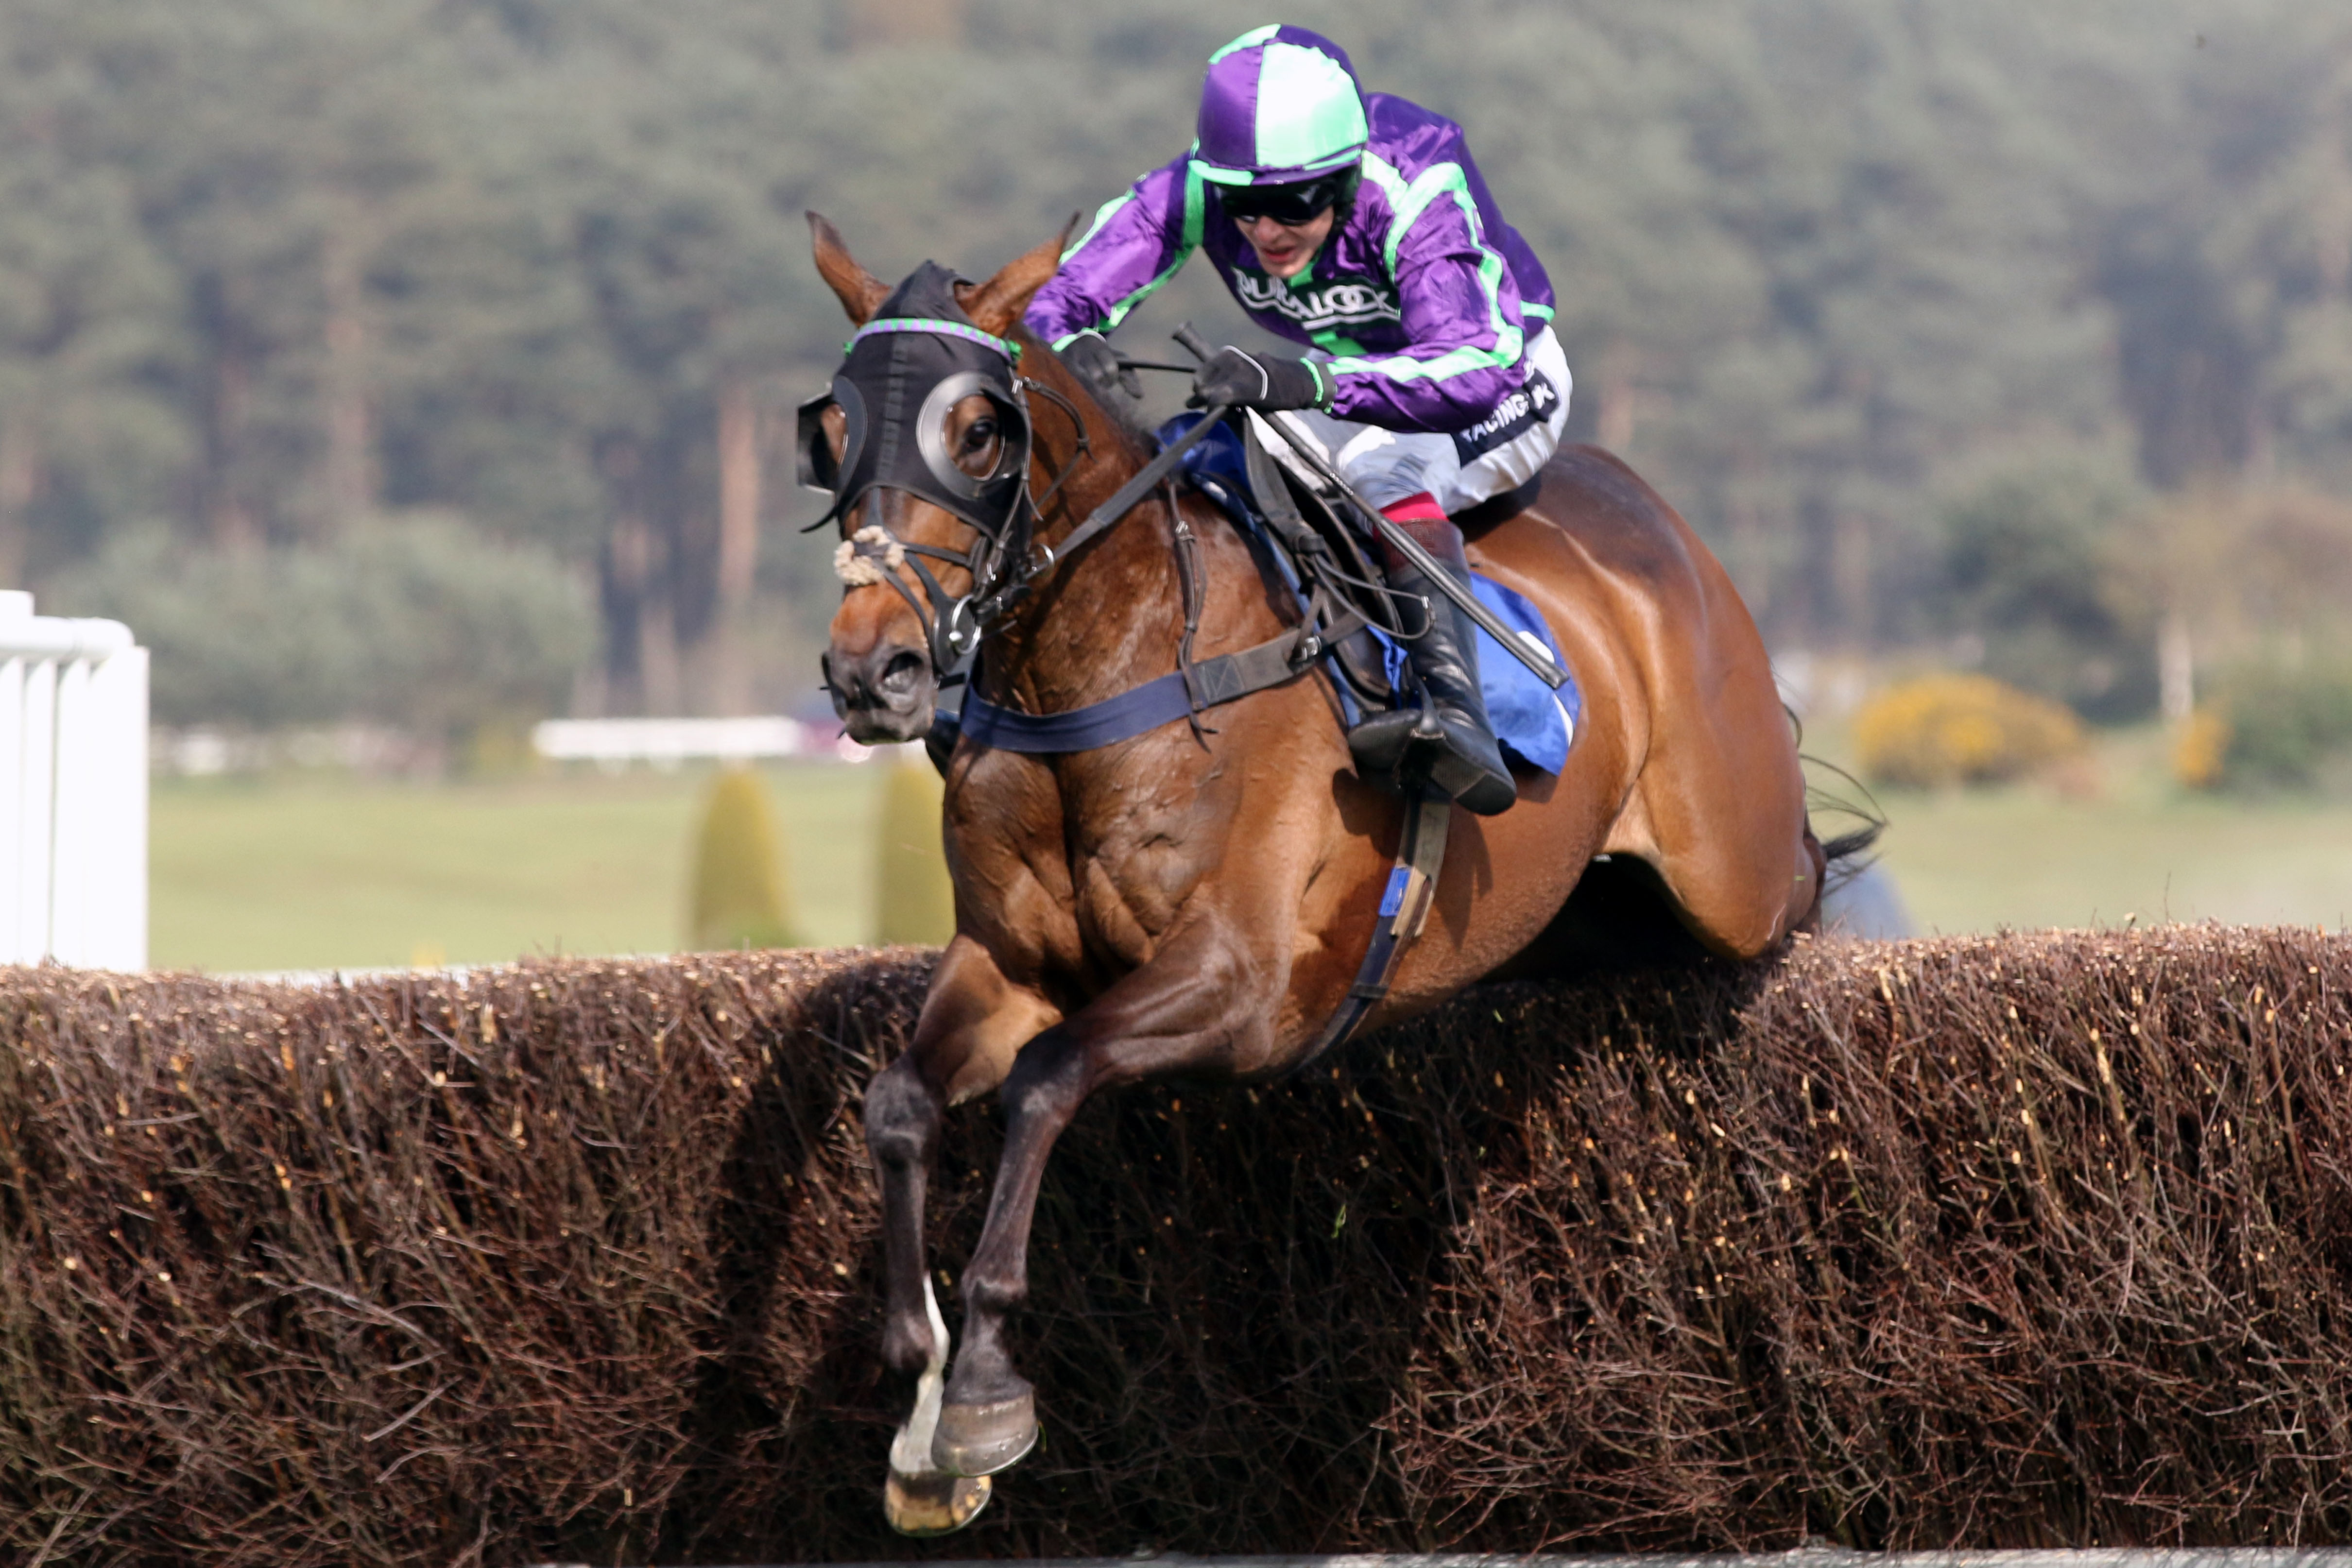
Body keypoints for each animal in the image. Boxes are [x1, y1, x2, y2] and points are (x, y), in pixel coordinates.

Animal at [804, 214, 1829, 1535]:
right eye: (829, 434)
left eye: (978, 432)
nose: (869, 671)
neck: (1109, 667)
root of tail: (1654, 520)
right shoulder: (1007, 963)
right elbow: (897, 1105)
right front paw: (921, 1404)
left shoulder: (1239, 986)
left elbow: (1045, 1080)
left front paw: (982, 1387)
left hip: (1731, 870)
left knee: (1802, 881)